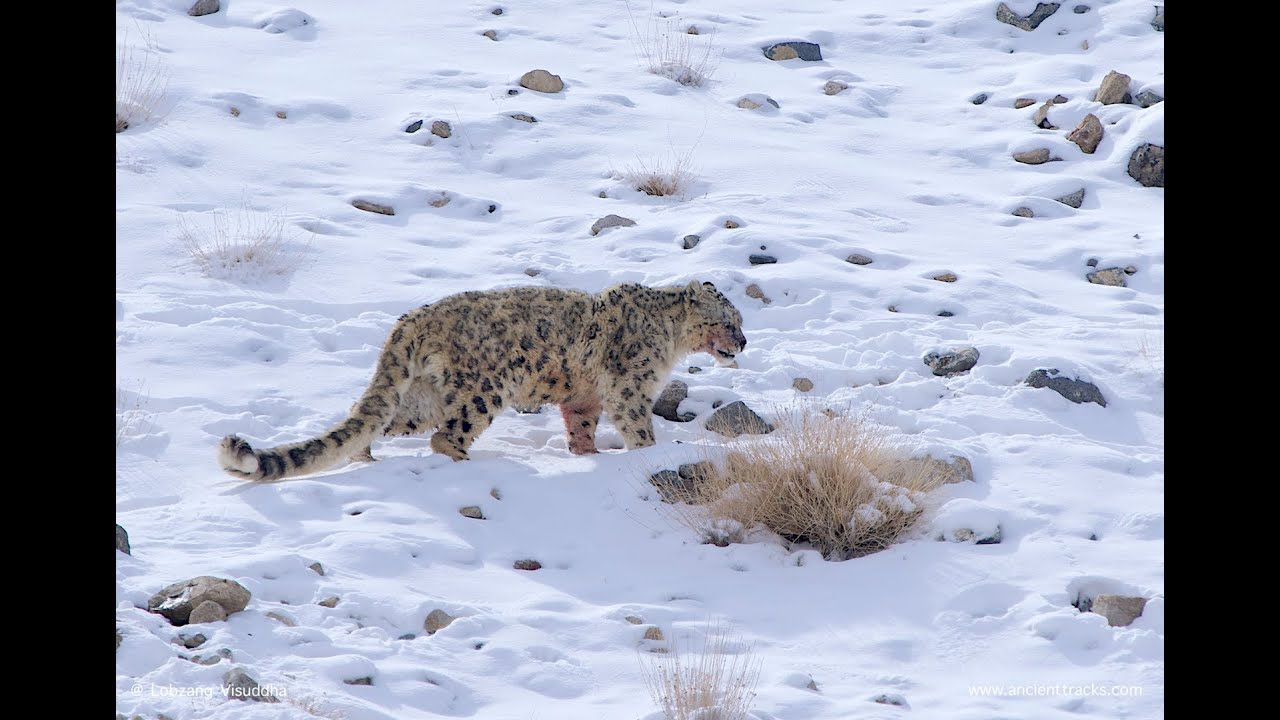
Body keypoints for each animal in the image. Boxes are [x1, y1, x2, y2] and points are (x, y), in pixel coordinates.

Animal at [218, 280, 746, 481]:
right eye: (730, 319)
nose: (743, 343)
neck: (670, 339)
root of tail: (411, 321)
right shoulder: (630, 387)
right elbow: (637, 424)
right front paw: (647, 454)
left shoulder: (584, 398)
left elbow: (580, 426)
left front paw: (586, 455)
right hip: (483, 390)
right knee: (445, 435)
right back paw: (469, 462)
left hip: (423, 396)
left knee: (376, 418)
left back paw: (363, 457)